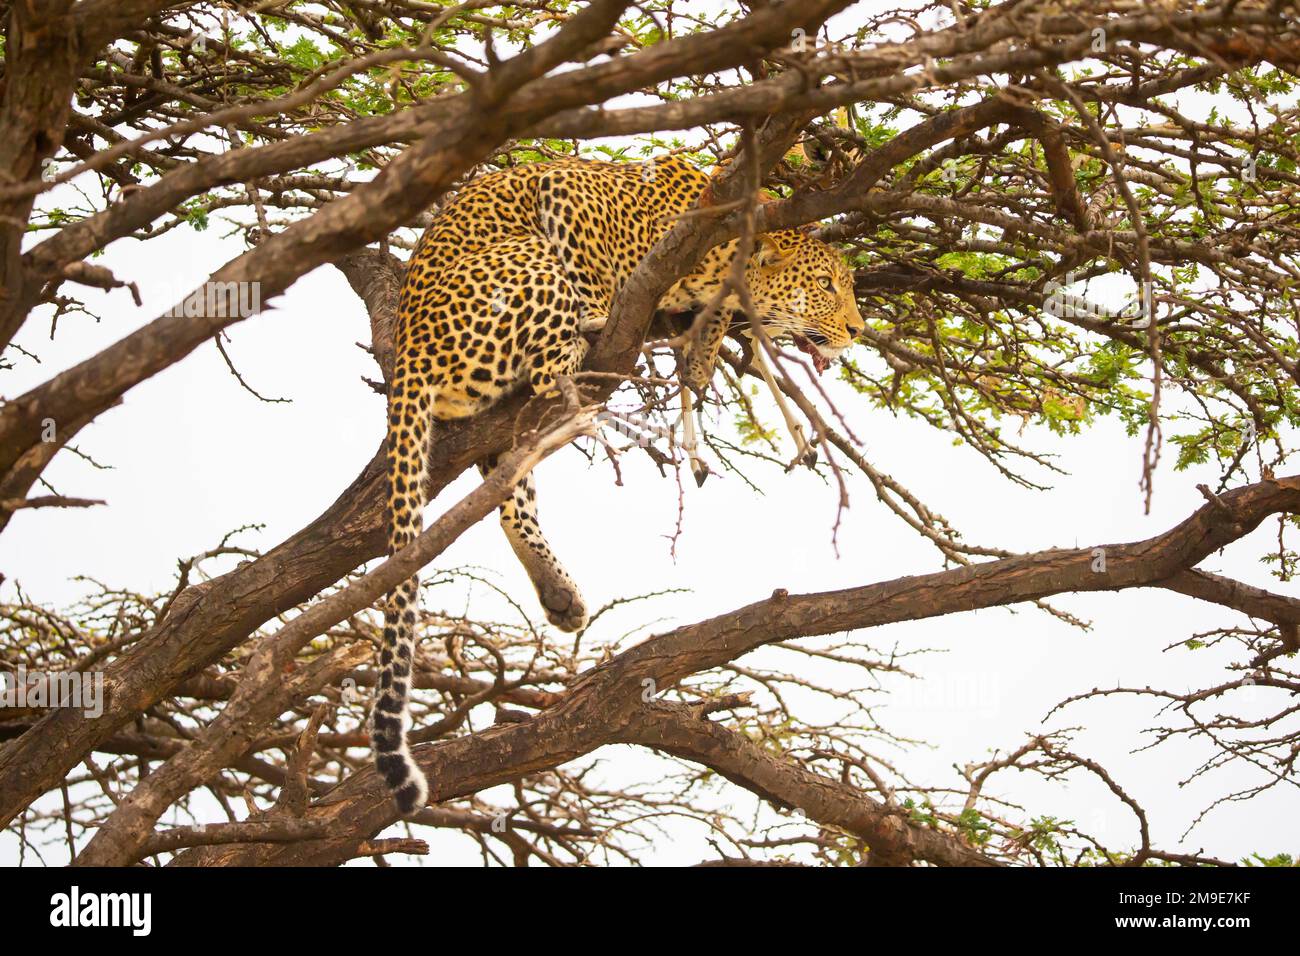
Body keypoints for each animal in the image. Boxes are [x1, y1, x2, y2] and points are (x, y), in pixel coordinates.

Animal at [374, 155, 865, 815]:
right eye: (829, 287)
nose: (857, 329)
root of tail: (406, 350)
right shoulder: (567, 191)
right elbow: (597, 261)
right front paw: (625, 314)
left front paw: (707, 356)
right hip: (527, 260)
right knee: (551, 373)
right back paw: (585, 344)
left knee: (510, 498)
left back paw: (558, 593)